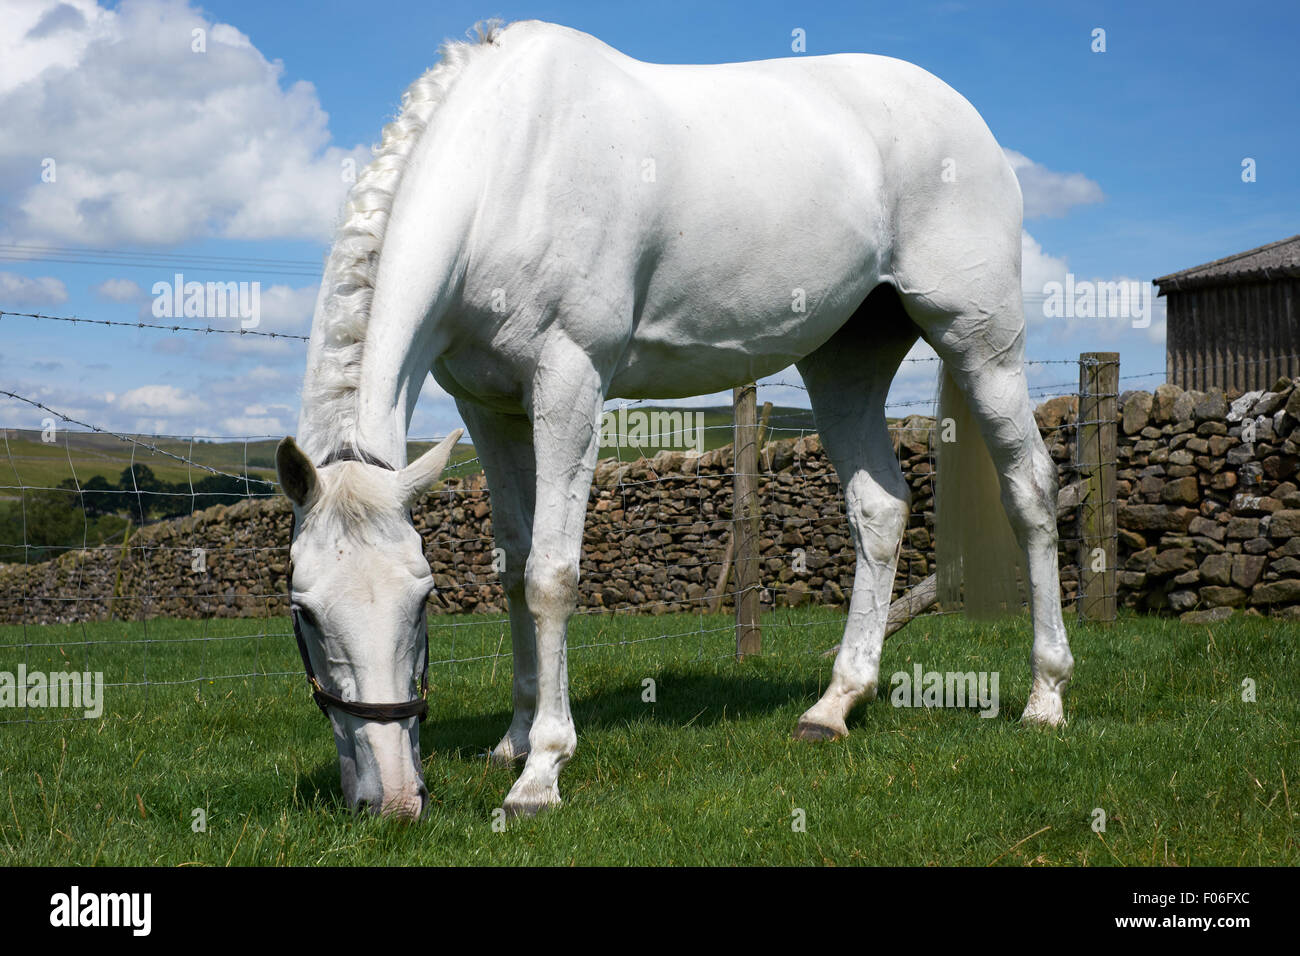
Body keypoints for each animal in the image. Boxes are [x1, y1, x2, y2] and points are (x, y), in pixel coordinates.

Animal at [277, 19, 1073, 819]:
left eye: (421, 601)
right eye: (305, 612)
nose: (392, 799)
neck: (509, 167)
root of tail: (964, 117)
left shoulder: (569, 379)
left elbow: (550, 574)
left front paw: (541, 772)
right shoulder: (489, 407)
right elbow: (512, 565)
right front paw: (513, 739)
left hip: (980, 341)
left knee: (1030, 491)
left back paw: (1045, 697)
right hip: (846, 360)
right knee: (879, 507)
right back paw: (833, 708)